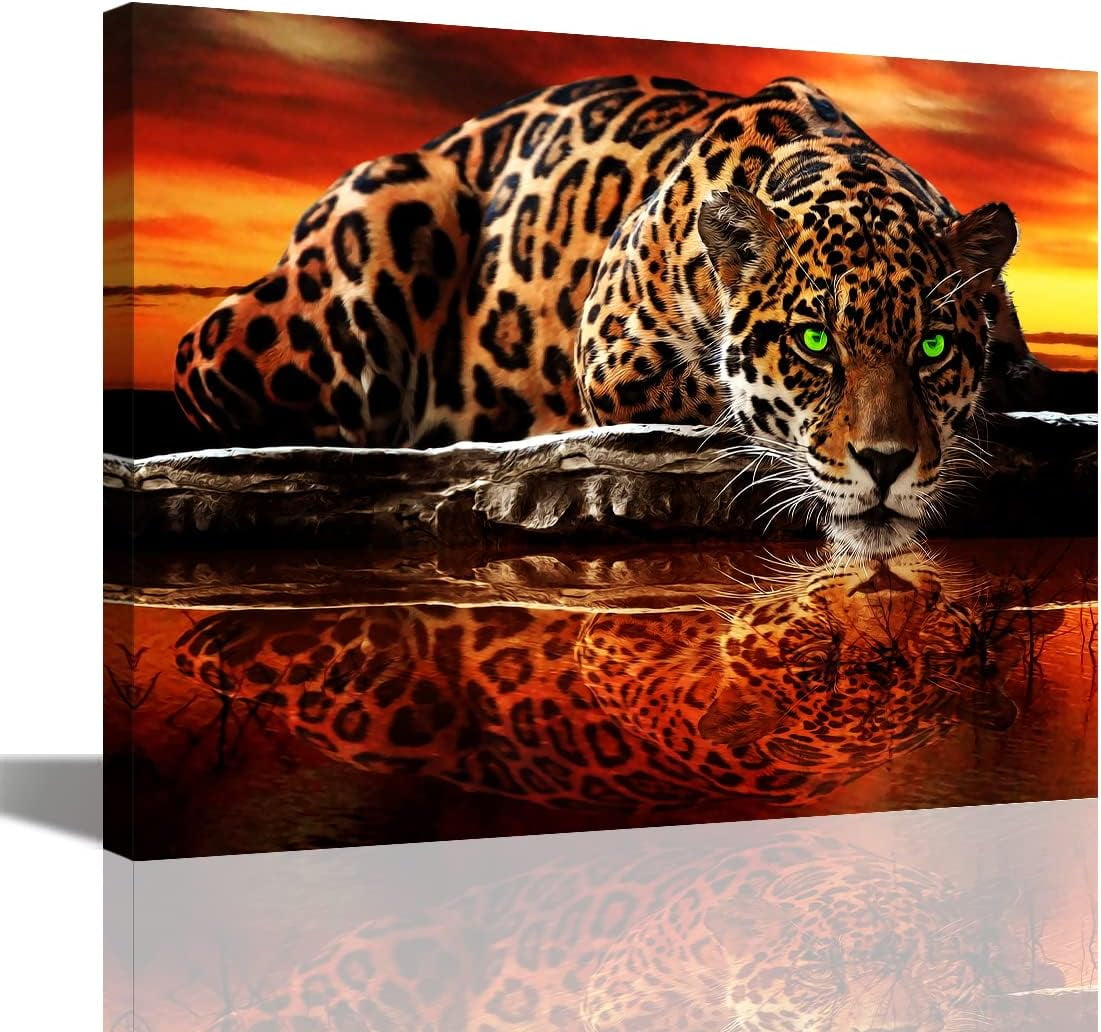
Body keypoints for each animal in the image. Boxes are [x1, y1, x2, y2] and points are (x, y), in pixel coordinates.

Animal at [173, 74, 1026, 556]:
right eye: (814, 342)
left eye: (932, 348)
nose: (885, 464)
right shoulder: (616, 354)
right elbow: (720, 397)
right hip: (386, 210)